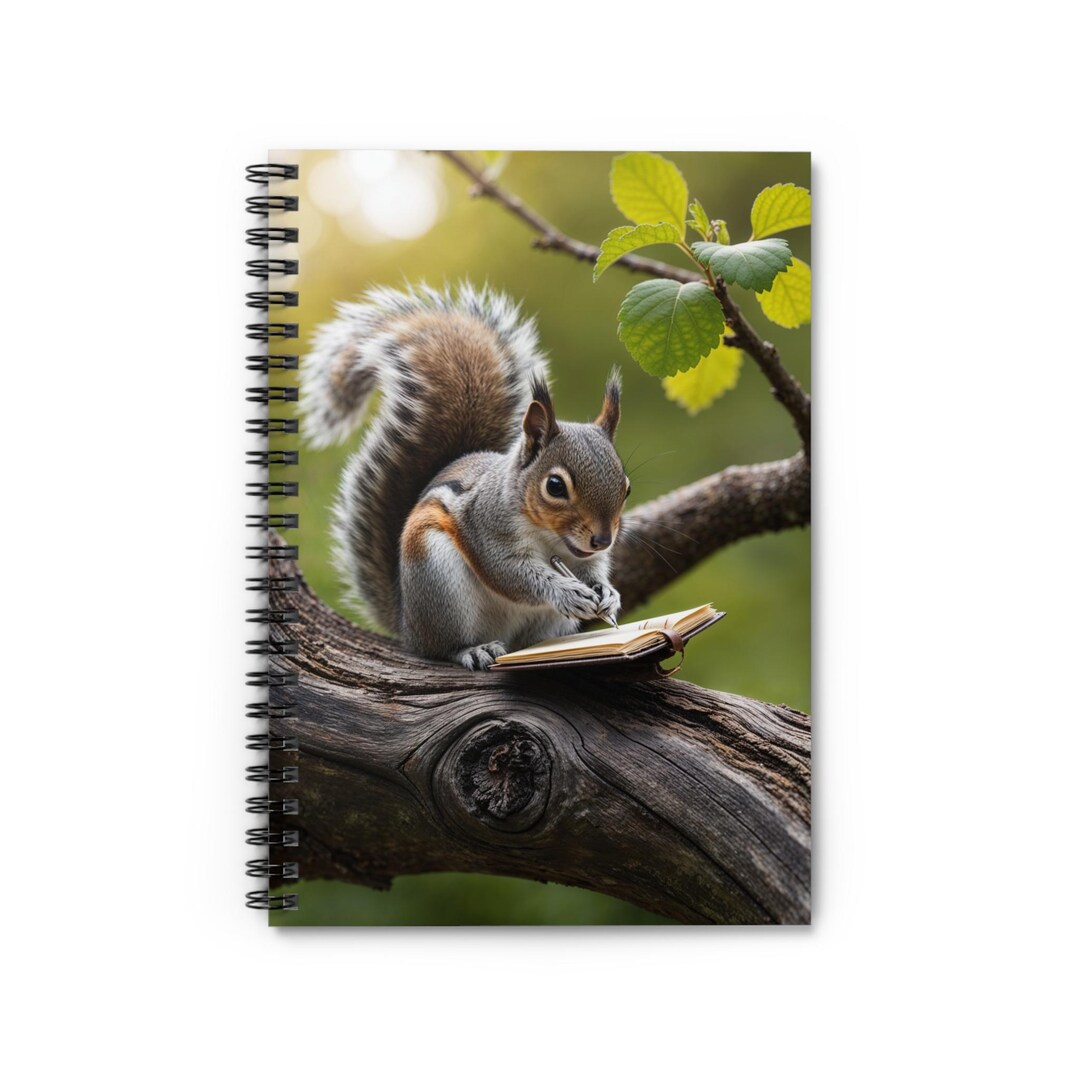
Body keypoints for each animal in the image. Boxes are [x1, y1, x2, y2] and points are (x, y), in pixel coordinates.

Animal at [300, 282, 629, 670]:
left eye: (626, 487)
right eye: (555, 486)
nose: (602, 539)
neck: (549, 535)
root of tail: (408, 624)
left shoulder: (582, 556)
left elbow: (593, 570)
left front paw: (607, 594)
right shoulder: (484, 527)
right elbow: (510, 573)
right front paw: (563, 590)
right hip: (437, 578)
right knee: (444, 646)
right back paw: (474, 649)